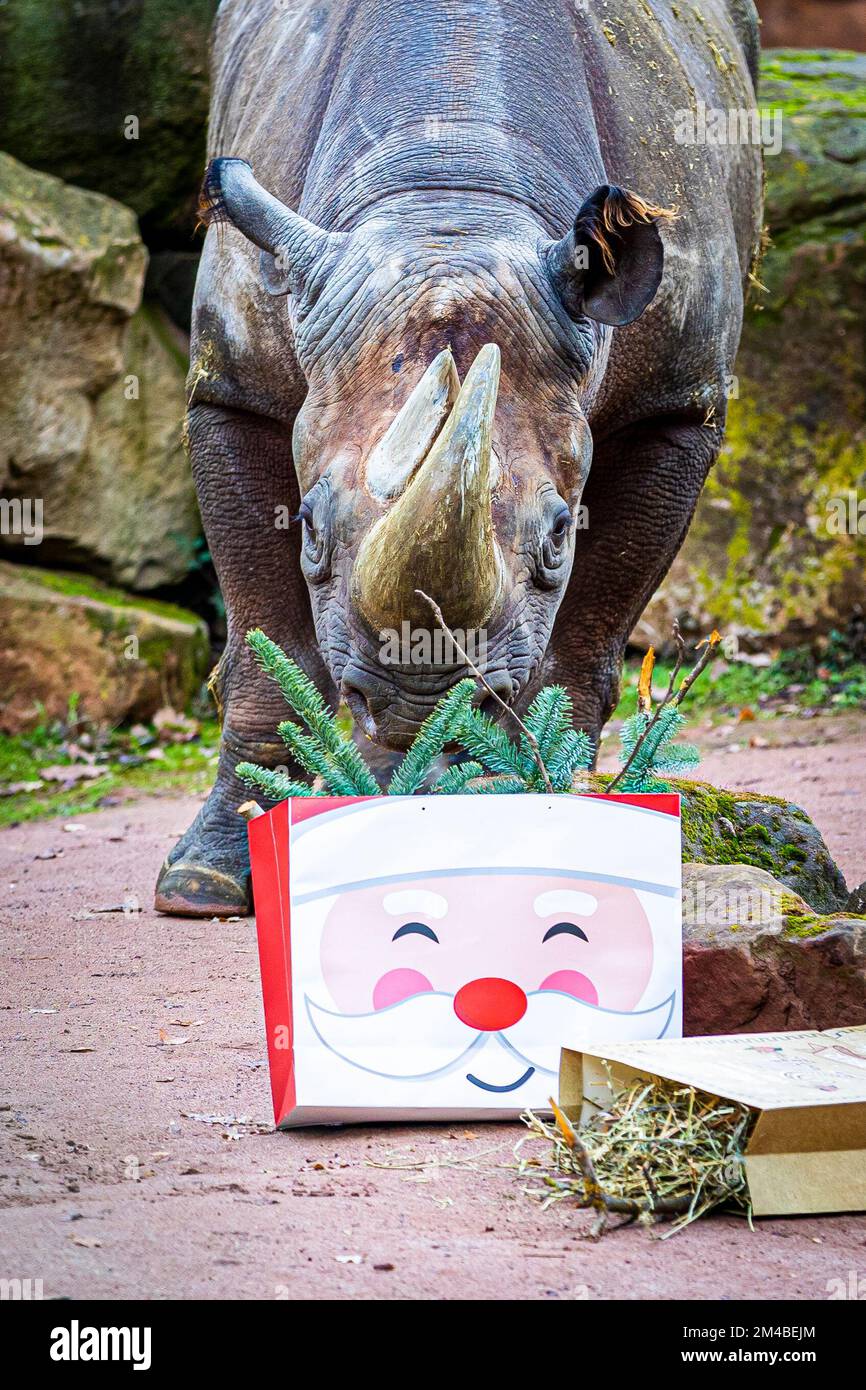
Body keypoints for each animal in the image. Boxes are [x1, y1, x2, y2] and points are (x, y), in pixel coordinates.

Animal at [156, 0, 763, 915]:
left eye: (559, 538)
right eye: (309, 530)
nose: (420, 699)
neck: (450, 201)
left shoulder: (679, 402)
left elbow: (582, 642)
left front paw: (537, 830)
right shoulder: (229, 382)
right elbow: (267, 640)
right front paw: (207, 881)